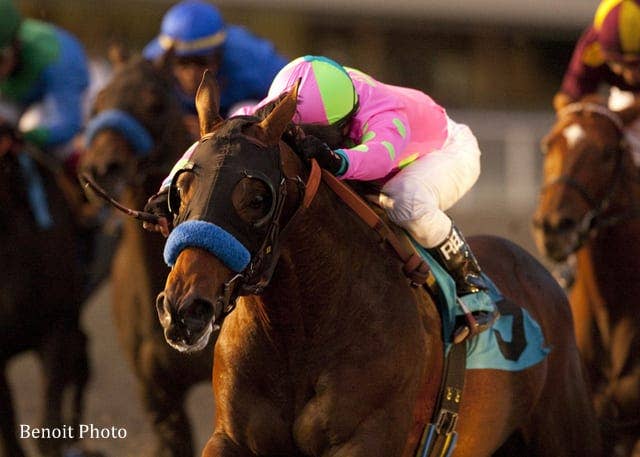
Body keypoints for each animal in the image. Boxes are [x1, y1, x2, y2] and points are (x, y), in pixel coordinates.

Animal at [155, 71, 602, 457]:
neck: (298, 333)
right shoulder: (230, 438)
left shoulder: (366, 439)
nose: (184, 308)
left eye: (257, 198)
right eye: (181, 187)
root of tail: (537, 273)